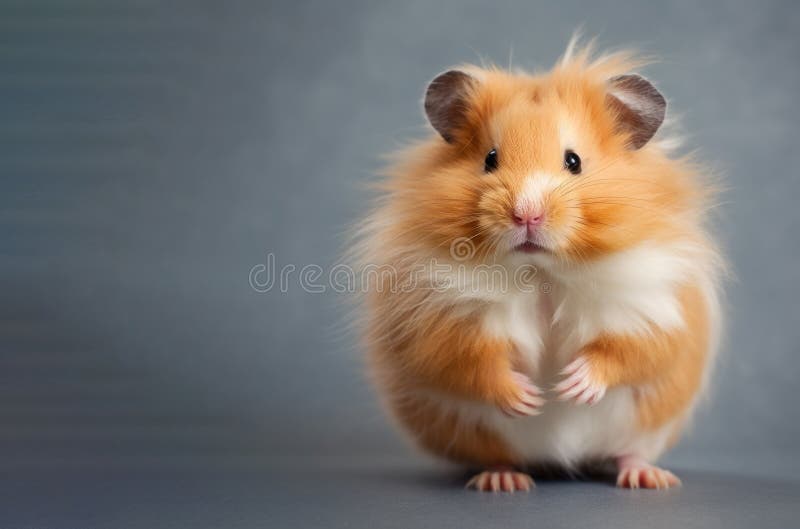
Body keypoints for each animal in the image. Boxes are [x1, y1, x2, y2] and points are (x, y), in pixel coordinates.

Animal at [354, 40, 724, 492]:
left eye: (574, 161)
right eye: (490, 159)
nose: (525, 214)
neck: (540, 271)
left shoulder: (651, 308)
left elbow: (626, 351)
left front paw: (571, 387)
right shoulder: (439, 321)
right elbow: (475, 362)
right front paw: (529, 399)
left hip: (645, 428)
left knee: (628, 451)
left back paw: (649, 478)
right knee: (497, 453)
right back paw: (503, 480)